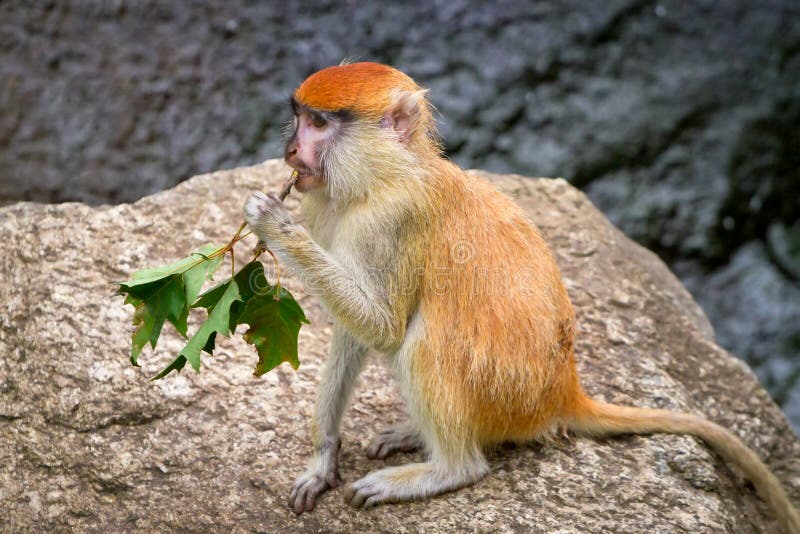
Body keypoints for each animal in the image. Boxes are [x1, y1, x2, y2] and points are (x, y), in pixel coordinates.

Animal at [242, 62, 800, 532]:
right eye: (300, 119)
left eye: (320, 124)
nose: (292, 152)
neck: (387, 172)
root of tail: (562, 392)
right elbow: (354, 335)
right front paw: (322, 459)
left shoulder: (392, 220)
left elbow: (382, 326)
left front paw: (273, 222)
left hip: (507, 388)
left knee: (424, 344)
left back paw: (448, 467)